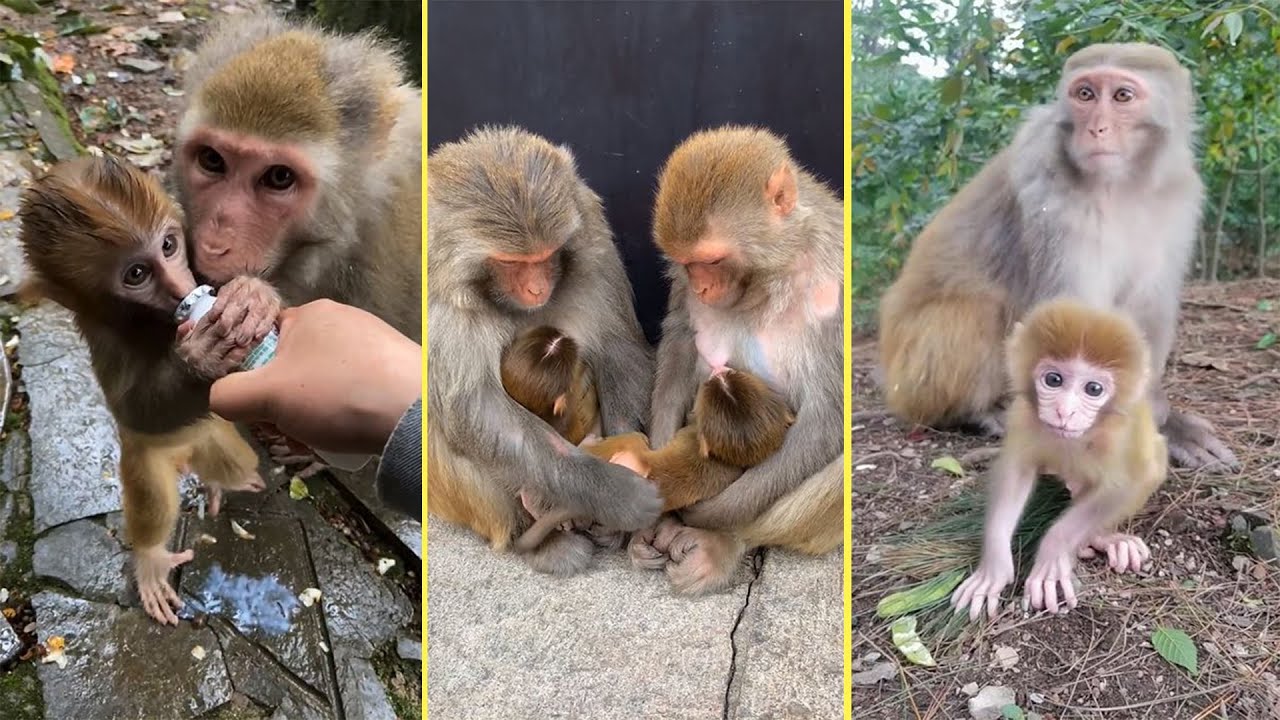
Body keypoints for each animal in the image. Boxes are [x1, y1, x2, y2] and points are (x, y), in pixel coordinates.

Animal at [16, 155, 267, 626]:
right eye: (137, 274)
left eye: (169, 247)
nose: (181, 290)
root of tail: (184, 457)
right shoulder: (106, 341)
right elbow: (134, 410)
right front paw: (201, 356)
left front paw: (253, 298)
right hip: (145, 458)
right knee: (152, 493)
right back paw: (151, 558)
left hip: (213, 439)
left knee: (234, 462)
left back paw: (220, 484)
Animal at [427, 126, 661, 577]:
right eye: (511, 262)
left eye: (546, 255)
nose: (537, 288)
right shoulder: (442, 308)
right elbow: (477, 410)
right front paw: (612, 494)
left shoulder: (593, 241)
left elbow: (616, 343)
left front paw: (627, 449)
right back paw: (539, 539)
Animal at [633, 125, 844, 594]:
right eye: (686, 263)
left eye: (712, 259)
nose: (702, 287)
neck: (772, 274)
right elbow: (680, 343)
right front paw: (659, 508)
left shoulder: (835, 287)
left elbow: (828, 419)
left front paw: (706, 516)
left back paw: (721, 541)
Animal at [876, 42, 1237, 471]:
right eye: (1085, 94)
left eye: (1122, 96)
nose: (1096, 128)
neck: (1123, 183)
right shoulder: (1048, 184)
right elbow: (1072, 319)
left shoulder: (1180, 193)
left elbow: (1147, 309)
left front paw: (1167, 422)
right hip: (910, 378)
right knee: (976, 309)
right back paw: (979, 412)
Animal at [951, 299, 1168, 621]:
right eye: (1054, 380)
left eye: (1093, 389)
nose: (1064, 411)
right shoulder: (1023, 414)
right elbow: (1016, 470)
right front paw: (993, 566)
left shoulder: (1121, 435)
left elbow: (1129, 483)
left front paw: (1052, 554)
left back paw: (1105, 539)